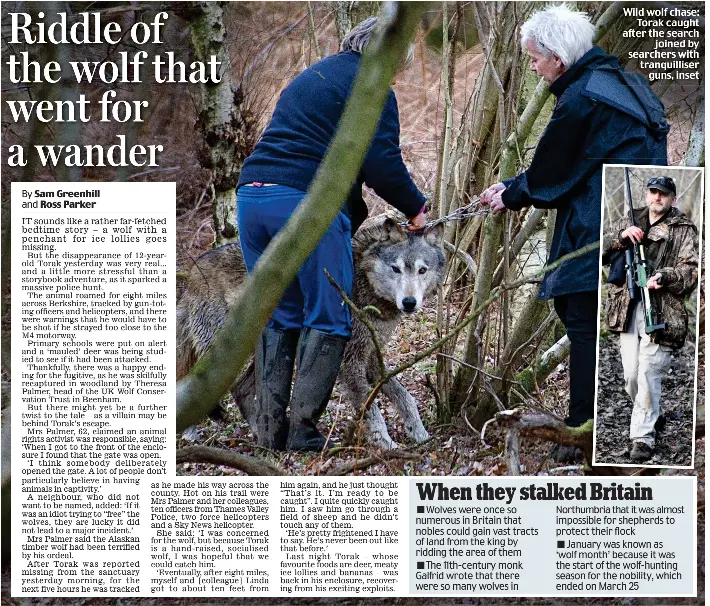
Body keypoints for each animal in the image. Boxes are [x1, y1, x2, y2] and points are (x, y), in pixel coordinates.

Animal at [176, 214, 445, 449]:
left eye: (422, 270)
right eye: (396, 269)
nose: (409, 302)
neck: (364, 282)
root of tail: (193, 273)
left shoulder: (370, 357)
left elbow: (405, 397)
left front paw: (419, 434)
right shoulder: (350, 362)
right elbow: (371, 410)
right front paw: (386, 445)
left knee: (243, 391)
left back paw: (264, 435)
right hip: (227, 358)